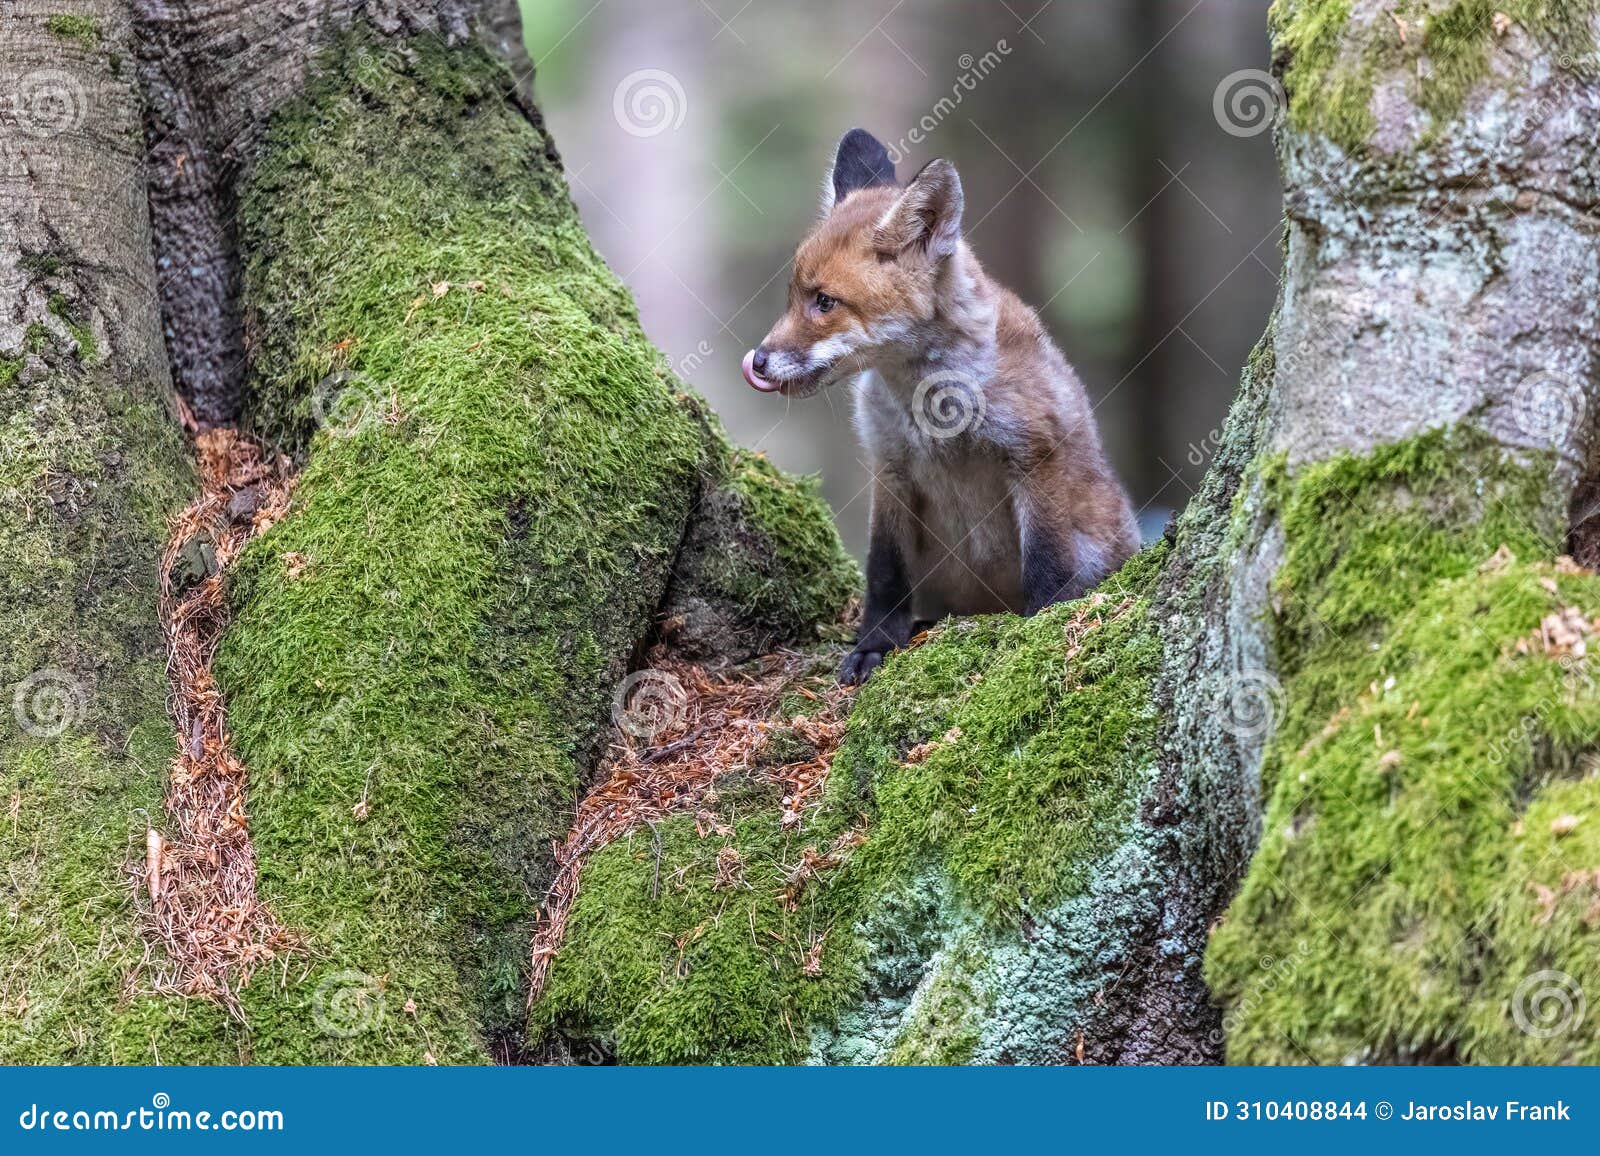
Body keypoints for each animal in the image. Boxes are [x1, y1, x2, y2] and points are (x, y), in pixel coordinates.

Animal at [742, 128, 1139, 684]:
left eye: (824, 302)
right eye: (793, 297)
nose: (757, 361)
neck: (931, 415)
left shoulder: (1035, 458)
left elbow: (1047, 565)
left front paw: (1041, 628)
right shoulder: (890, 467)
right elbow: (884, 572)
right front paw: (875, 644)